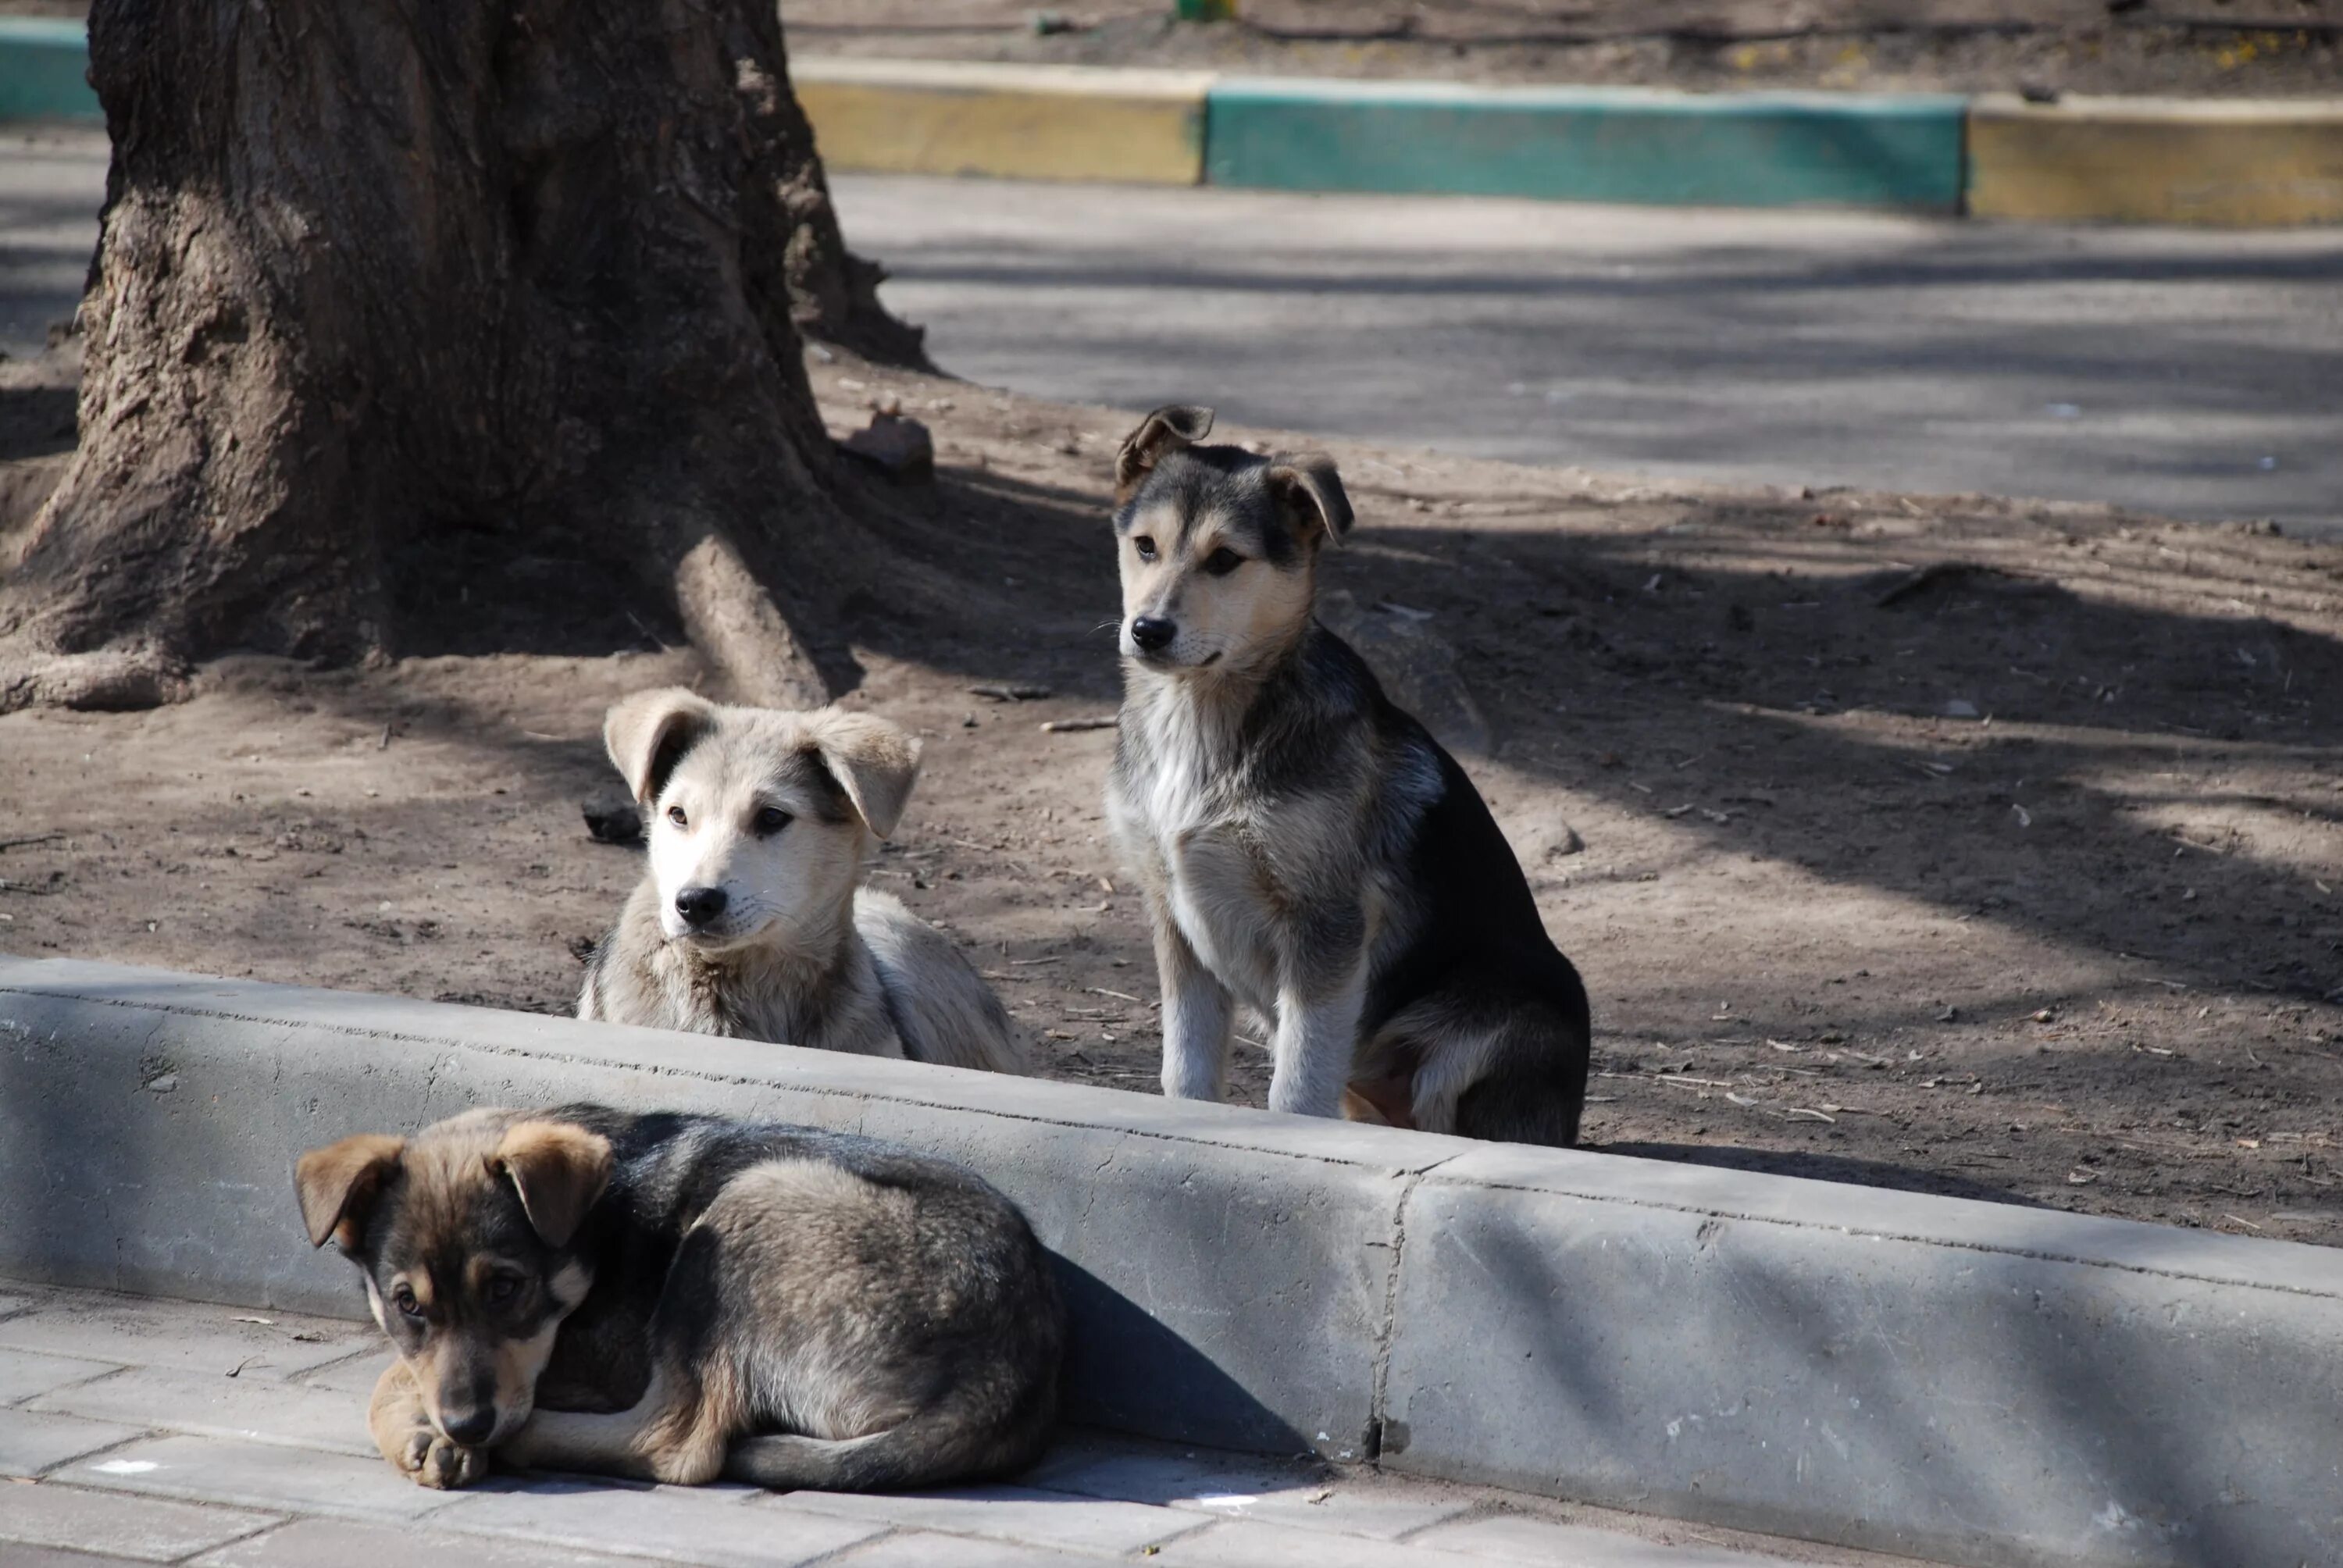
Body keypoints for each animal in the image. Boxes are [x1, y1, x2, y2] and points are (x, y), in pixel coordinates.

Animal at [298, 1101, 1068, 1490]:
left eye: (507, 1288)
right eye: (408, 1304)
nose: (466, 1426)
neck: (597, 1229)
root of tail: (1009, 1374)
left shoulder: (599, 1360)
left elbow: (393, 1377)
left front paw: (423, 1432)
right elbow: (406, 1367)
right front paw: (426, 1432)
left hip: (747, 1208)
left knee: (679, 1442)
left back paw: (525, 1443)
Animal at [1101, 398, 1593, 1143]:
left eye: (1225, 560)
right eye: (1145, 547)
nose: (1148, 631)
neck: (1204, 715)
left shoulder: (1325, 927)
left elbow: (1298, 1085)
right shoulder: (1174, 919)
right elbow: (1185, 1072)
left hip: (1502, 1022)